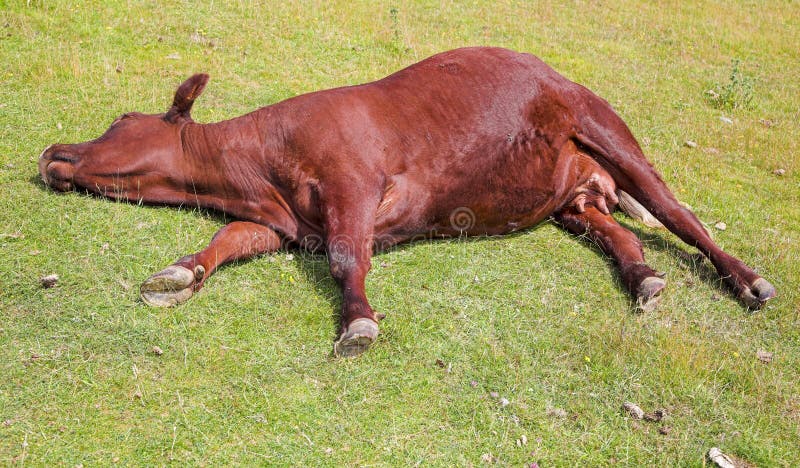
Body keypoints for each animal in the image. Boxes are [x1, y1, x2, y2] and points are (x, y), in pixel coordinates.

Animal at [38, 47, 775, 357]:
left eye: (120, 119)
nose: (52, 153)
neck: (259, 166)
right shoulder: (280, 224)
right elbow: (226, 242)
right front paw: (180, 272)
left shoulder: (355, 182)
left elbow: (346, 258)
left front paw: (359, 321)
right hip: (566, 193)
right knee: (612, 230)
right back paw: (643, 277)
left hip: (604, 125)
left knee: (679, 214)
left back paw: (747, 281)